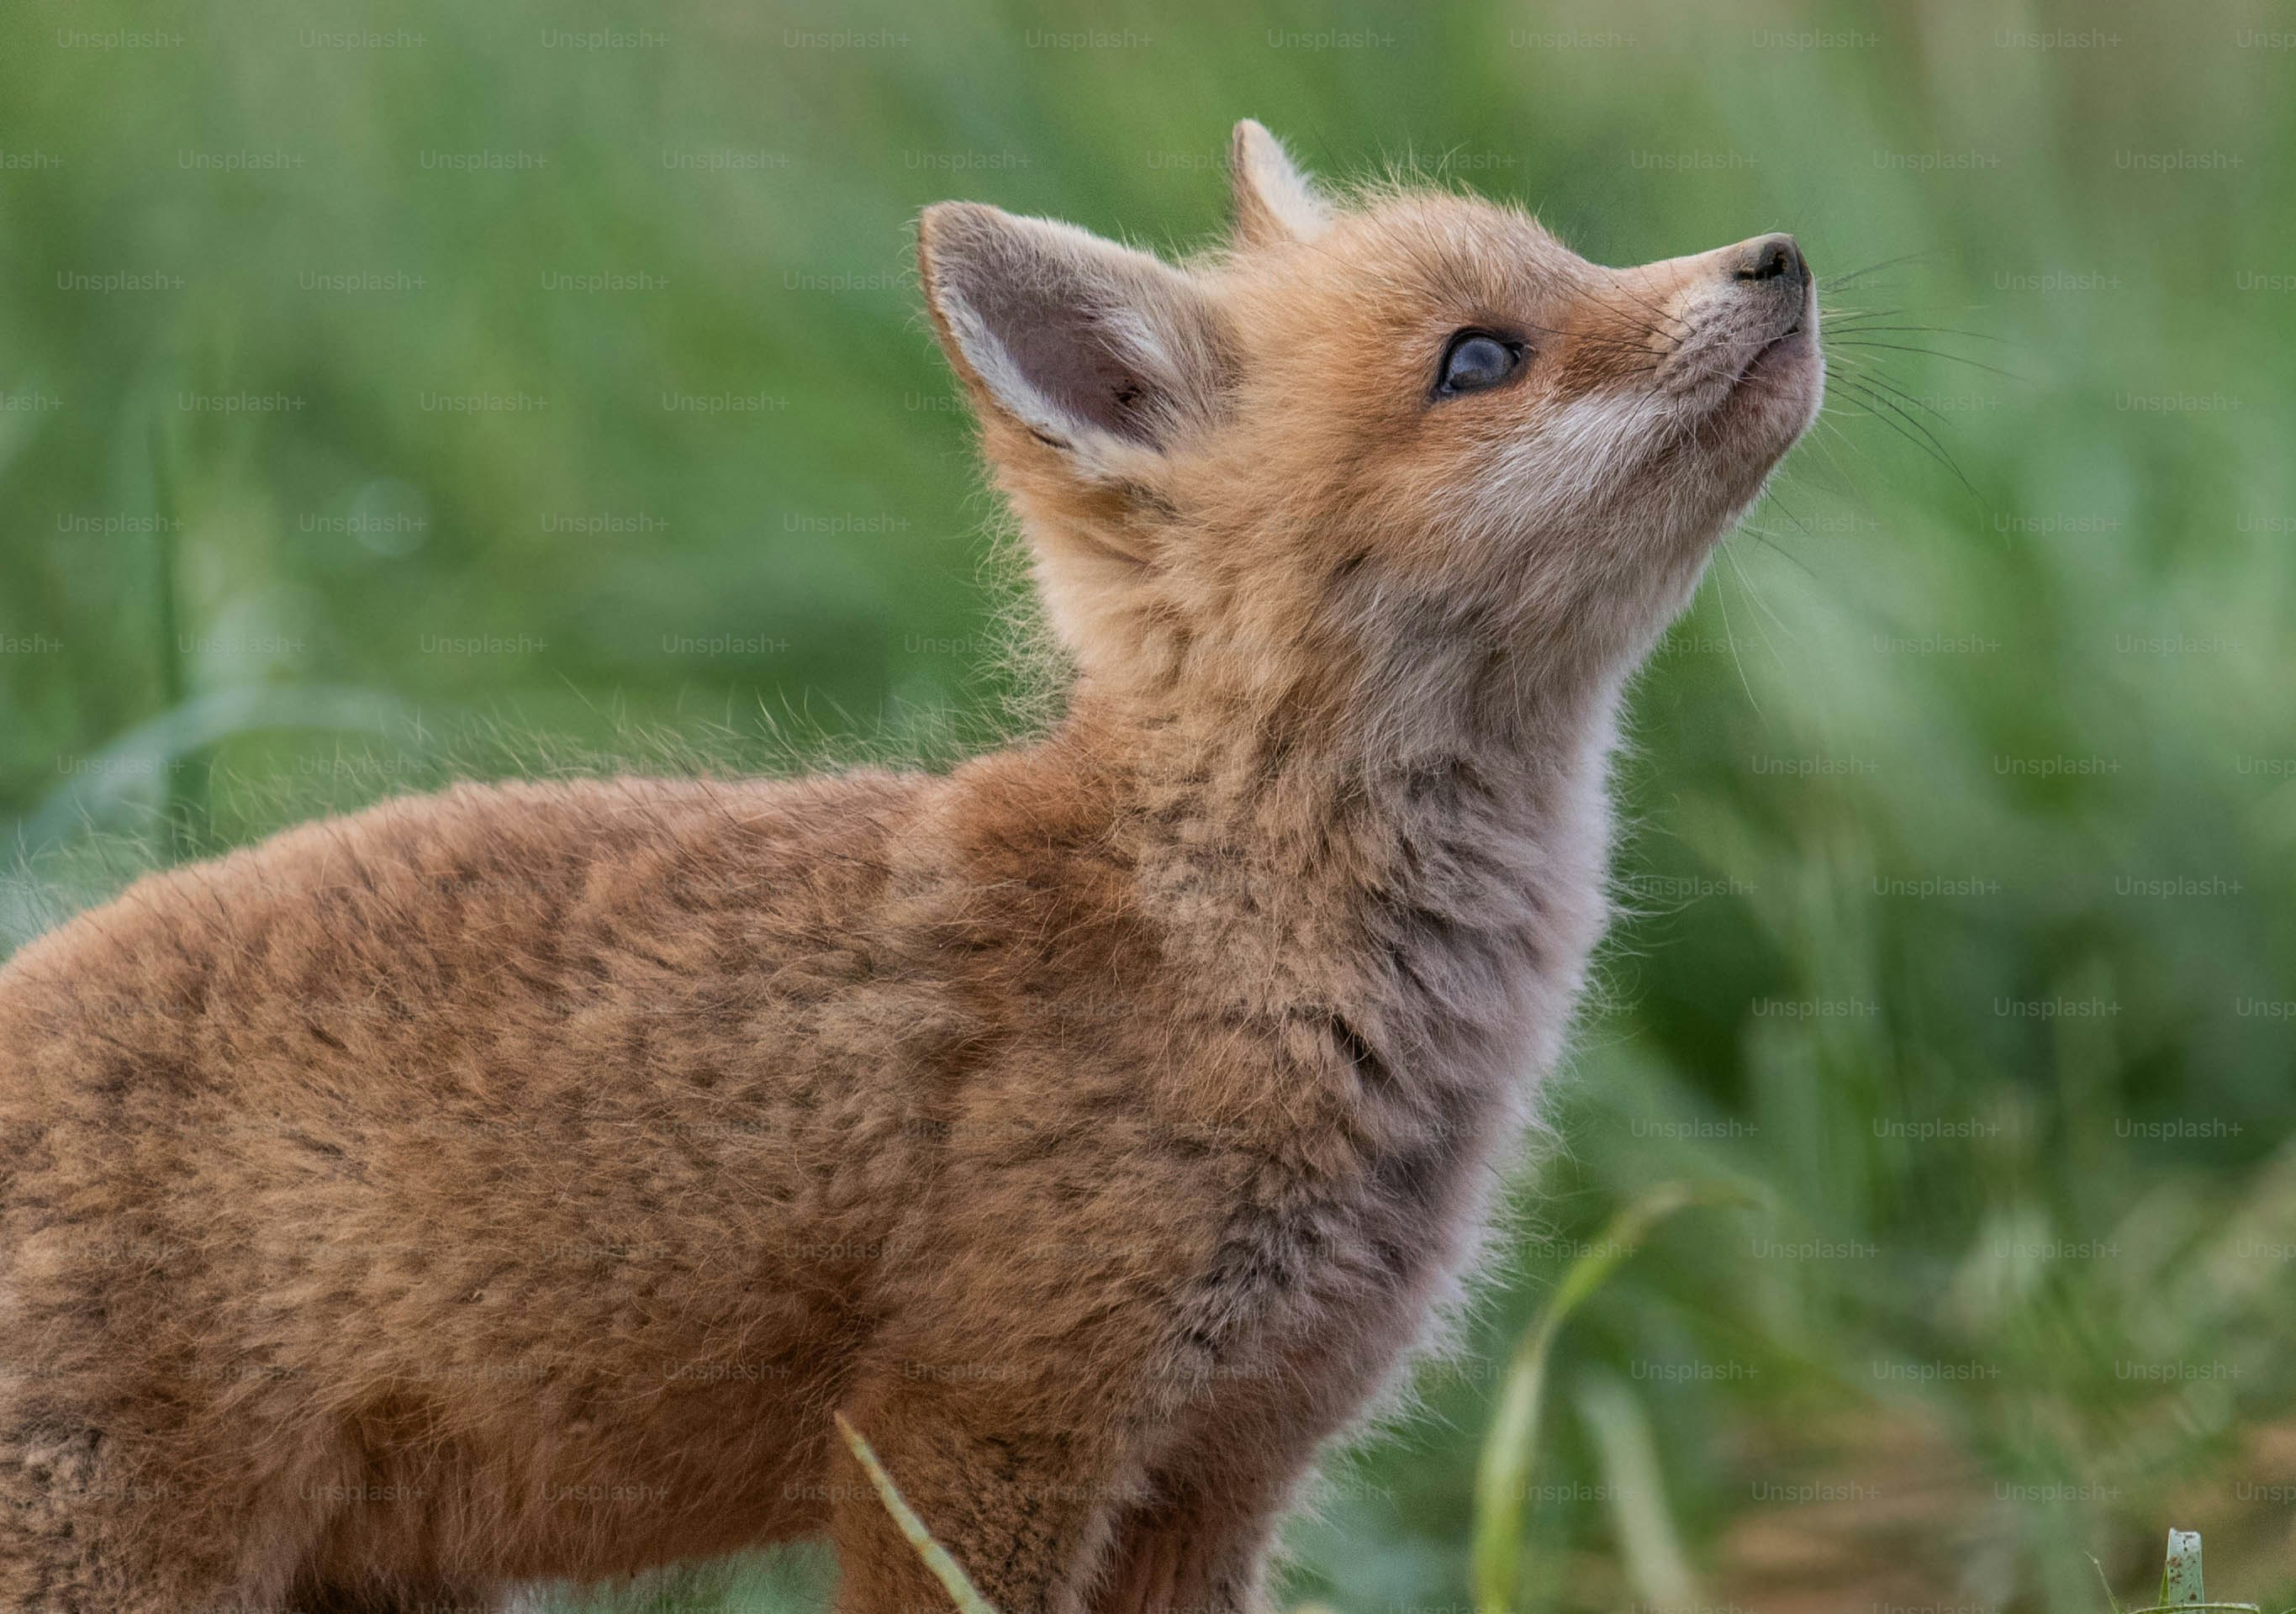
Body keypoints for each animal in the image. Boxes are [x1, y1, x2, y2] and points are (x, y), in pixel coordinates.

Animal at [0, 121, 1819, 1613]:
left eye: (1569, 259)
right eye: (1480, 357)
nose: (1780, 258)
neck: (1233, 948)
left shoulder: (1224, 1471)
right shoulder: (973, 1435)